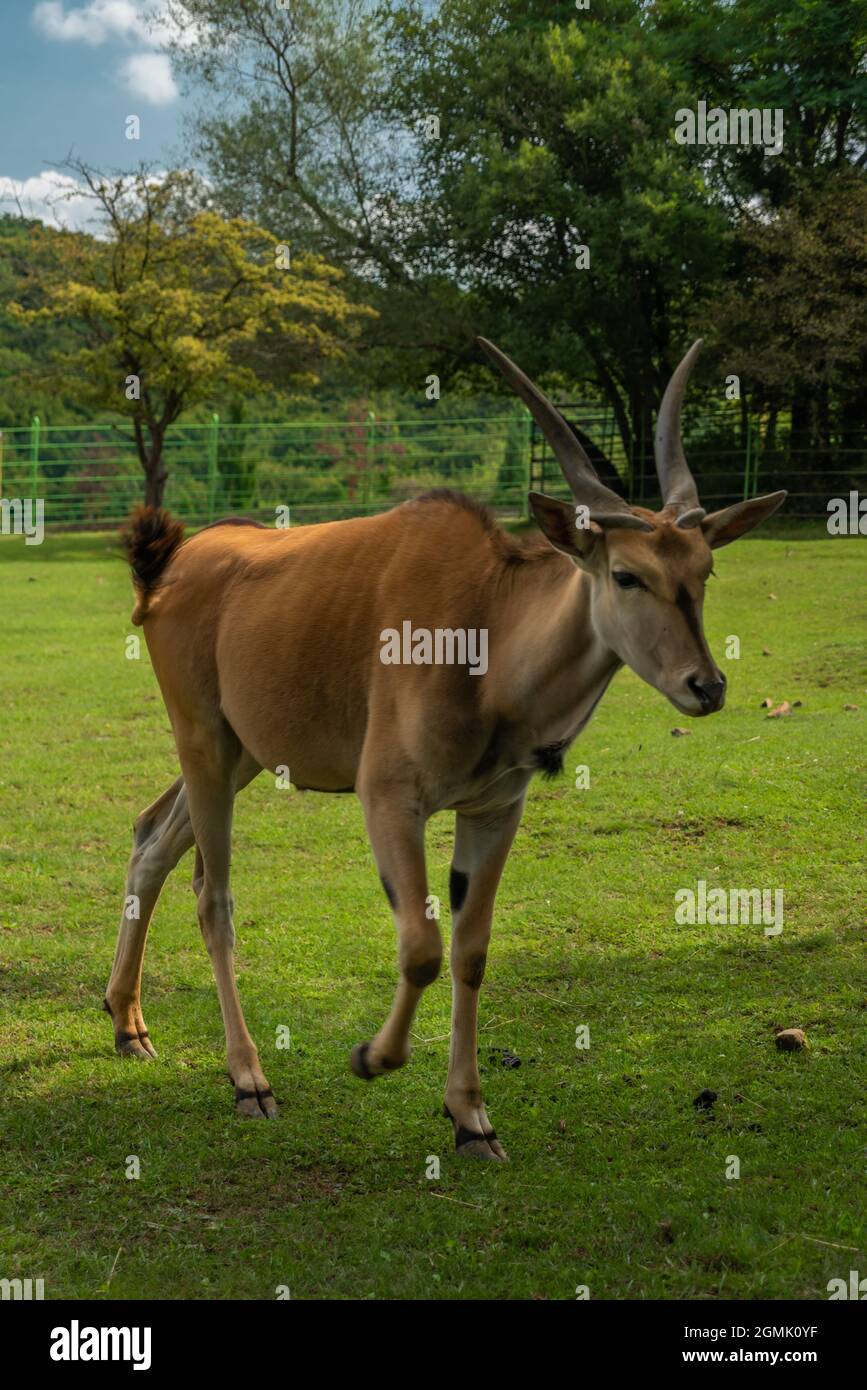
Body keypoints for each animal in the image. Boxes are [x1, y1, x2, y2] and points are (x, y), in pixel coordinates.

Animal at [105, 338, 785, 1159]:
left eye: (703, 572)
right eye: (627, 575)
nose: (705, 685)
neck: (487, 630)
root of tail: (170, 566)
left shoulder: (493, 809)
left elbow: (470, 950)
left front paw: (469, 1118)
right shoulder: (389, 799)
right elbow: (423, 945)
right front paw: (372, 1058)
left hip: (236, 756)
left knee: (151, 838)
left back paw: (127, 1024)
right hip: (203, 741)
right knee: (212, 895)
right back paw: (249, 1080)